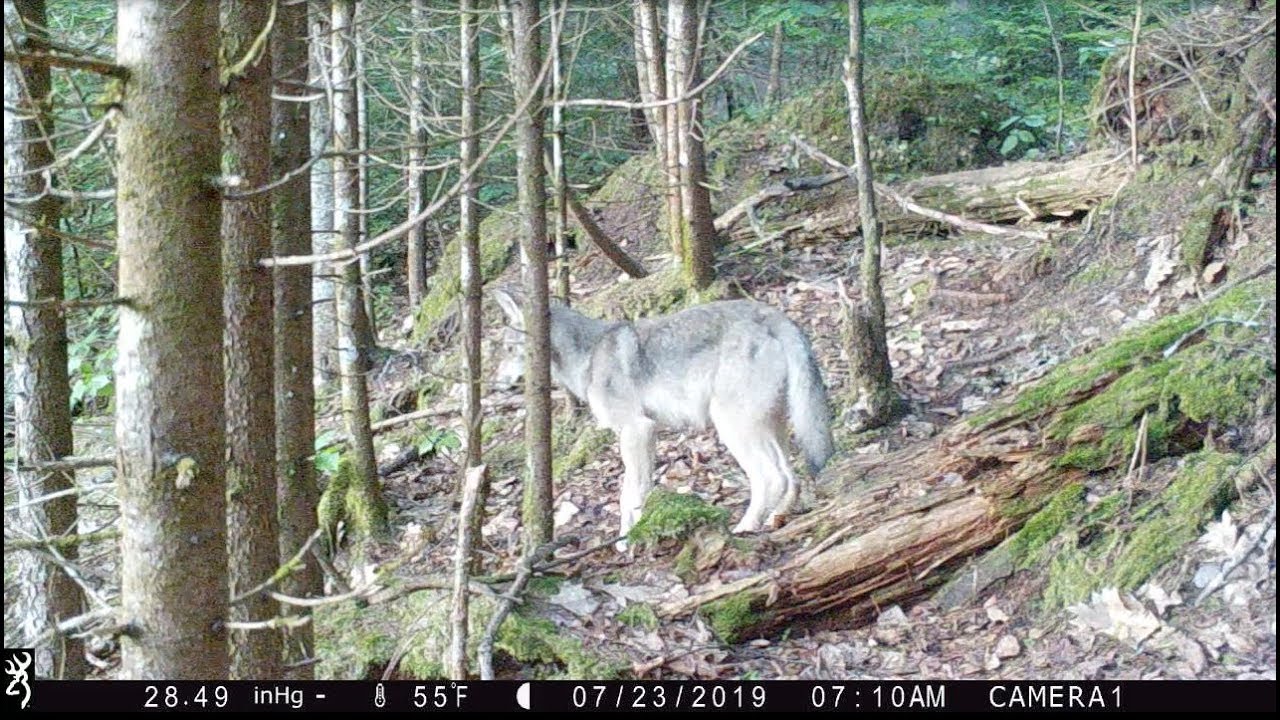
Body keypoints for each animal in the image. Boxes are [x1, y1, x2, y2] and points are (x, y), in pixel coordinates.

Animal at [493, 288, 834, 542]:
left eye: (507, 349)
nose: (495, 383)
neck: (588, 357)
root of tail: (775, 316)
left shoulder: (636, 430)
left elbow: (629, 494)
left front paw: (627, 541)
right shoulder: (647, 433)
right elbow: (636, 490)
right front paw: (634, 534)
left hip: (733, 428)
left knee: (771, 477)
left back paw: (746, 527)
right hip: (772, 427)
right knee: (791, 476)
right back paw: (777, 518)